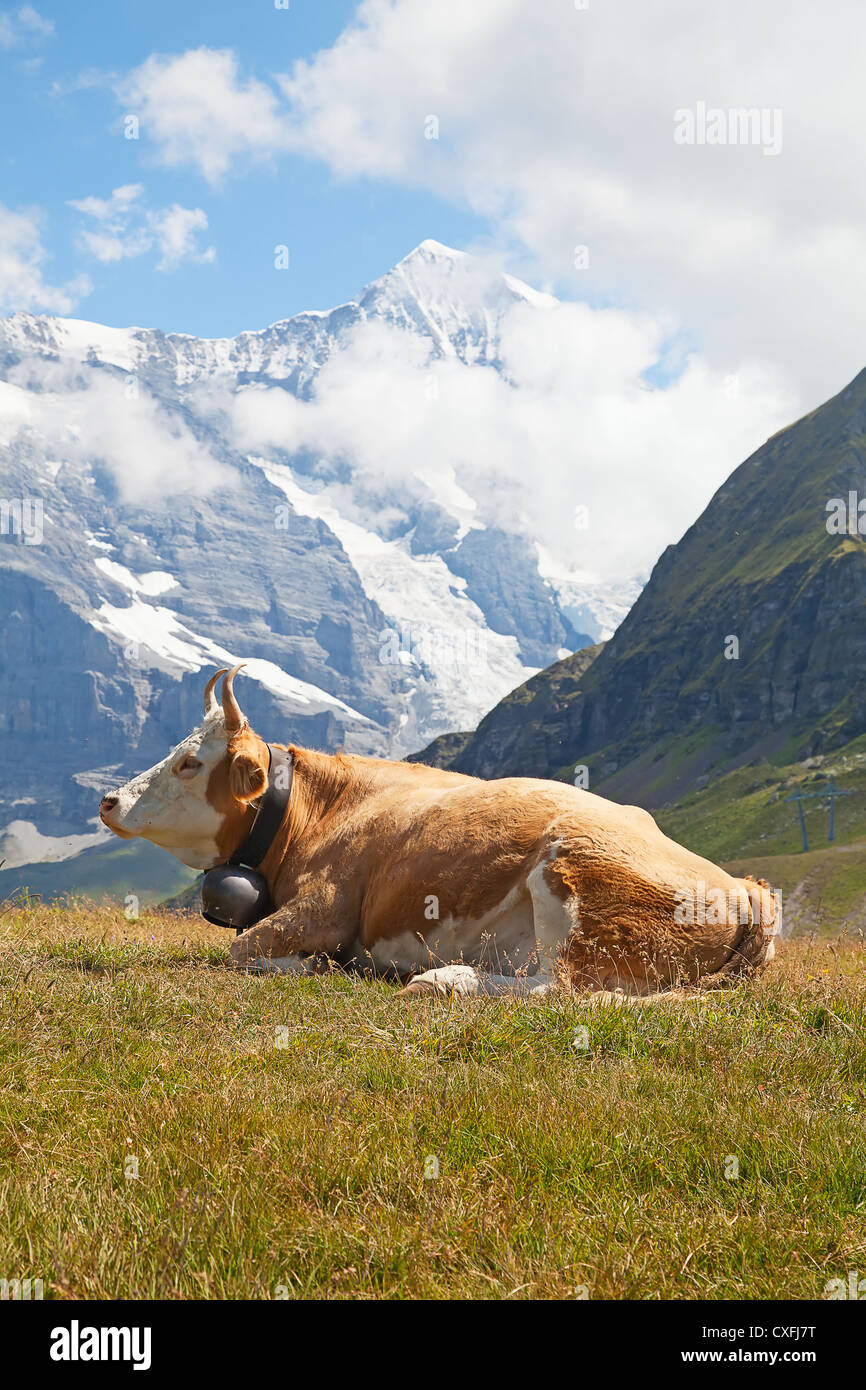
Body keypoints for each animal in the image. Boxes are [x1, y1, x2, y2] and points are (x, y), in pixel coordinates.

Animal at [99, 665, 779, 998]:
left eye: (190, 762)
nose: (108, 801)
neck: (322, 811)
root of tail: (746, 889)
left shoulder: (326, 907)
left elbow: (241, 950)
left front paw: (312, 965)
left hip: (572, 877)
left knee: (562, 990)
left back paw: (443, 980)